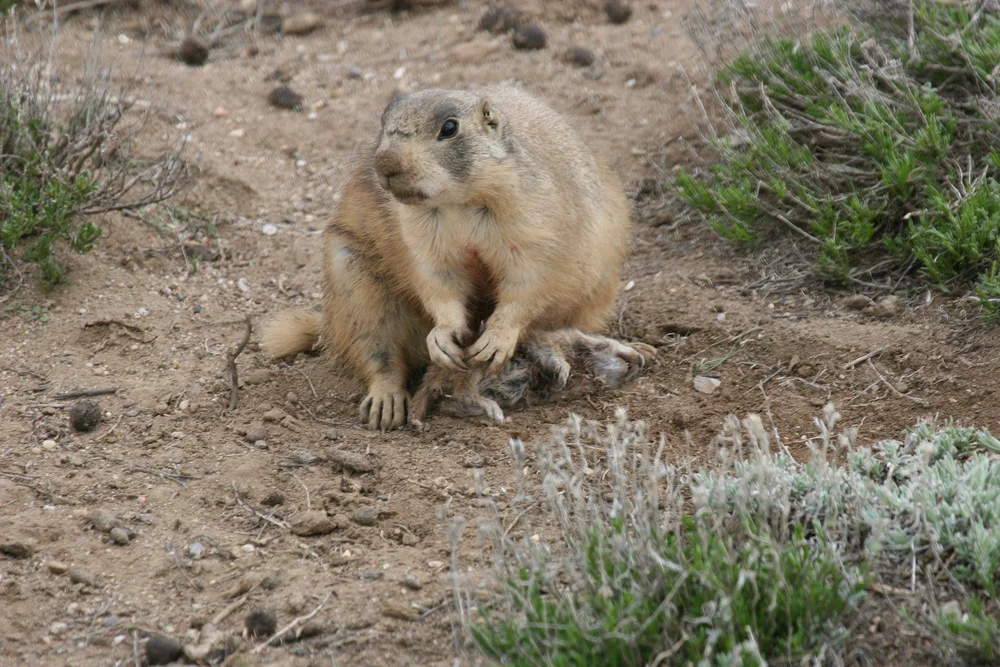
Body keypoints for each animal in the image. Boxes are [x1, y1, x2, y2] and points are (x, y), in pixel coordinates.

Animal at [262, 84, 655, 430]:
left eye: (449, 128)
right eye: (383, 124)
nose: (384, 162)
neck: (459, 203)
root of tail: (326, 325)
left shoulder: (536, 226)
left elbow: (528, 282)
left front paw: (494, 341)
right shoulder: (421, 236)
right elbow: (440, 281)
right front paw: (444, 337)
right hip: (353, 280)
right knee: (378, 350)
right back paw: (386, 405)